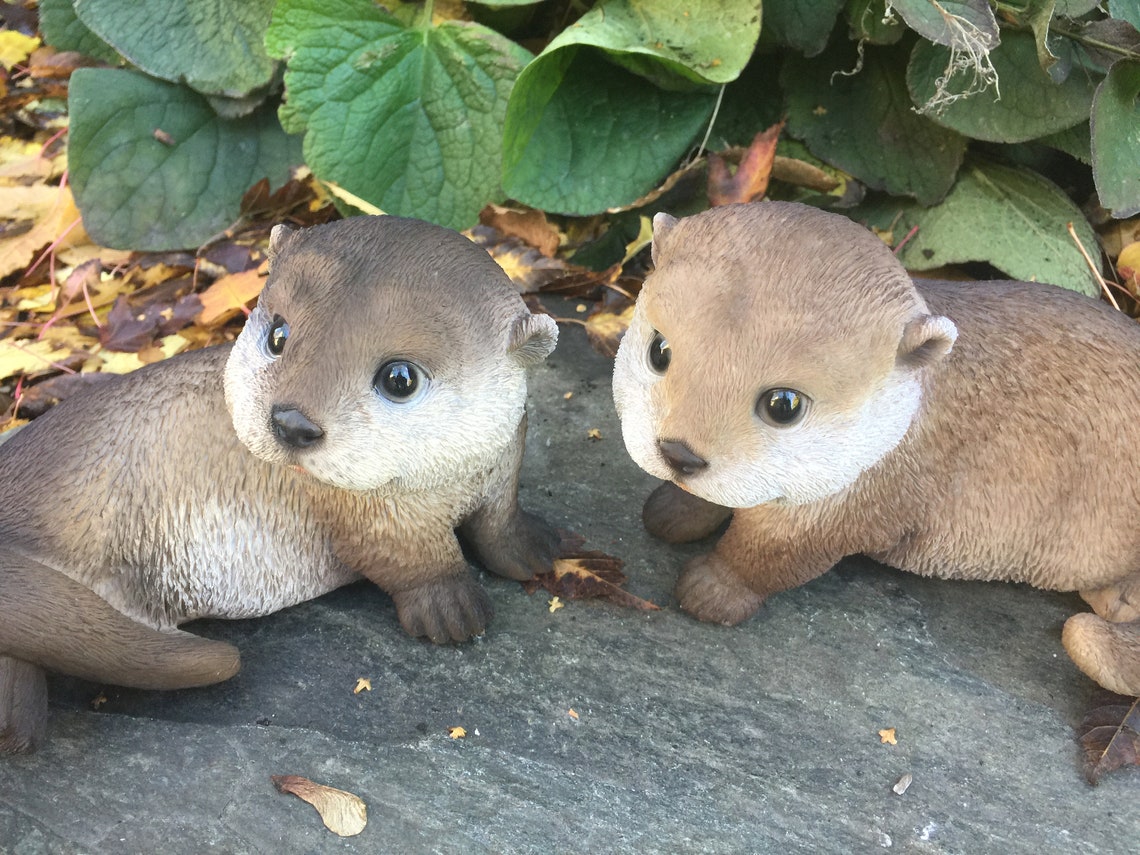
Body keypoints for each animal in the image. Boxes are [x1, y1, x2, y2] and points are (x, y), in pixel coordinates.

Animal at [0, 215, 559, 753]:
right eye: (278, 336)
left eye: (399, 378)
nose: (291, 423)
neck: (451, 480)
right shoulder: (371, 517)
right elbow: (411, 559)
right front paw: (450, 606)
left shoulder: (506, 457)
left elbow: (500, 520)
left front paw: (538, 546)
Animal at [613, 202, 1140, 698]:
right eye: (659, 352)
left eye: (783, 405)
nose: (679, 453)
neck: (911, 412)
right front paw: (674, 509)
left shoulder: (850, 505)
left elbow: (767, 556)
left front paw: (712, 589)